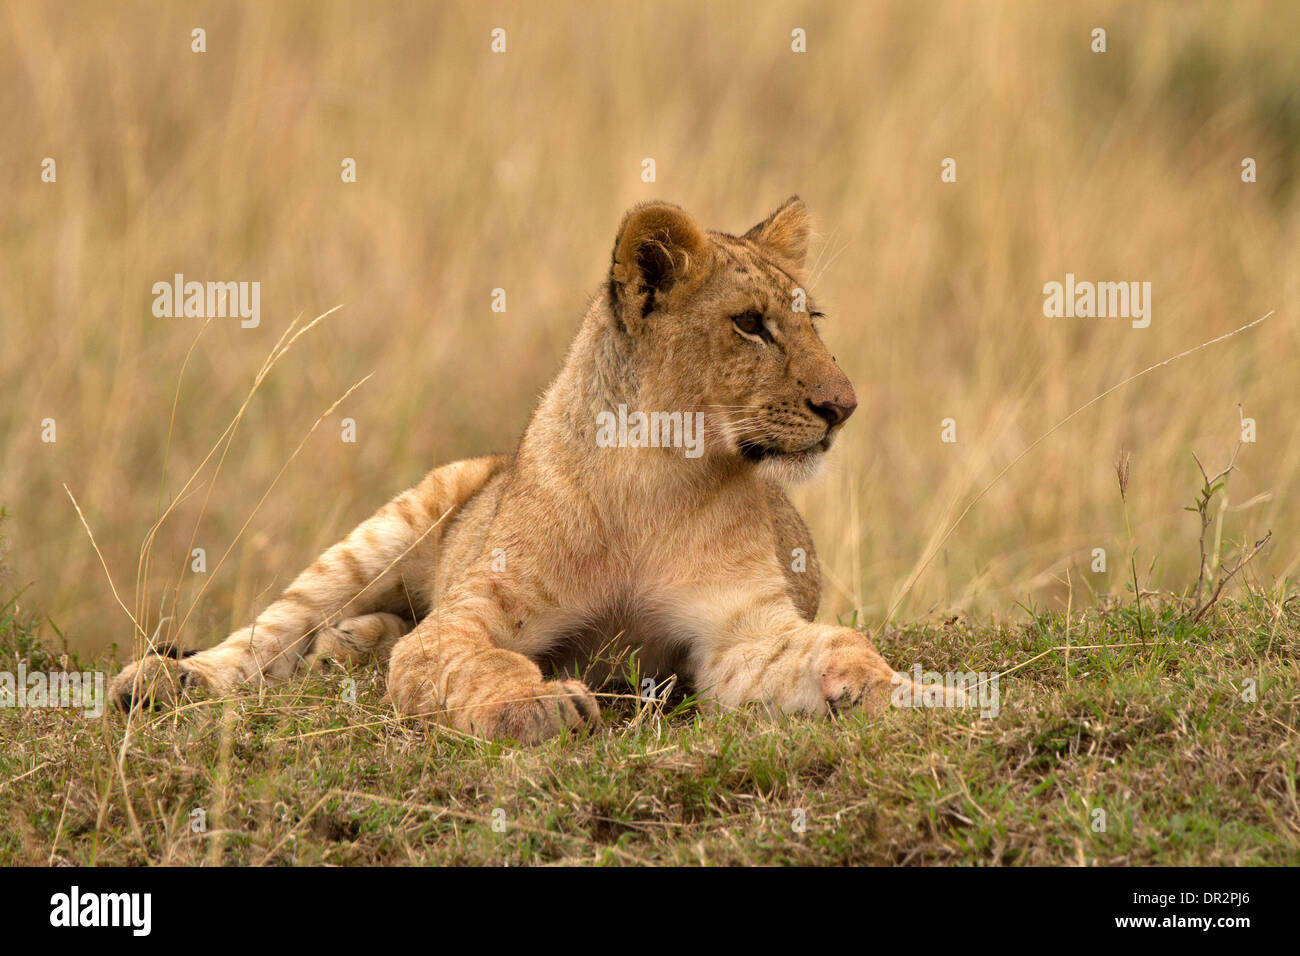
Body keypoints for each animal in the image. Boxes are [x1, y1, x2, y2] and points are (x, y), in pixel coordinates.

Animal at [111, 197, 950, 743]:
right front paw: (537, 708)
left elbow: (839, 647)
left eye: (813, 320)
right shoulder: (469, 618)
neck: (655, 474)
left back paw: (349, 646)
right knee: (273, 628)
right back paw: (168, 680)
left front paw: (909, 691)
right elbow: (475, 661)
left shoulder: (735, 636)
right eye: (749, 324)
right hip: (394, 522)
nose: (843, 407)